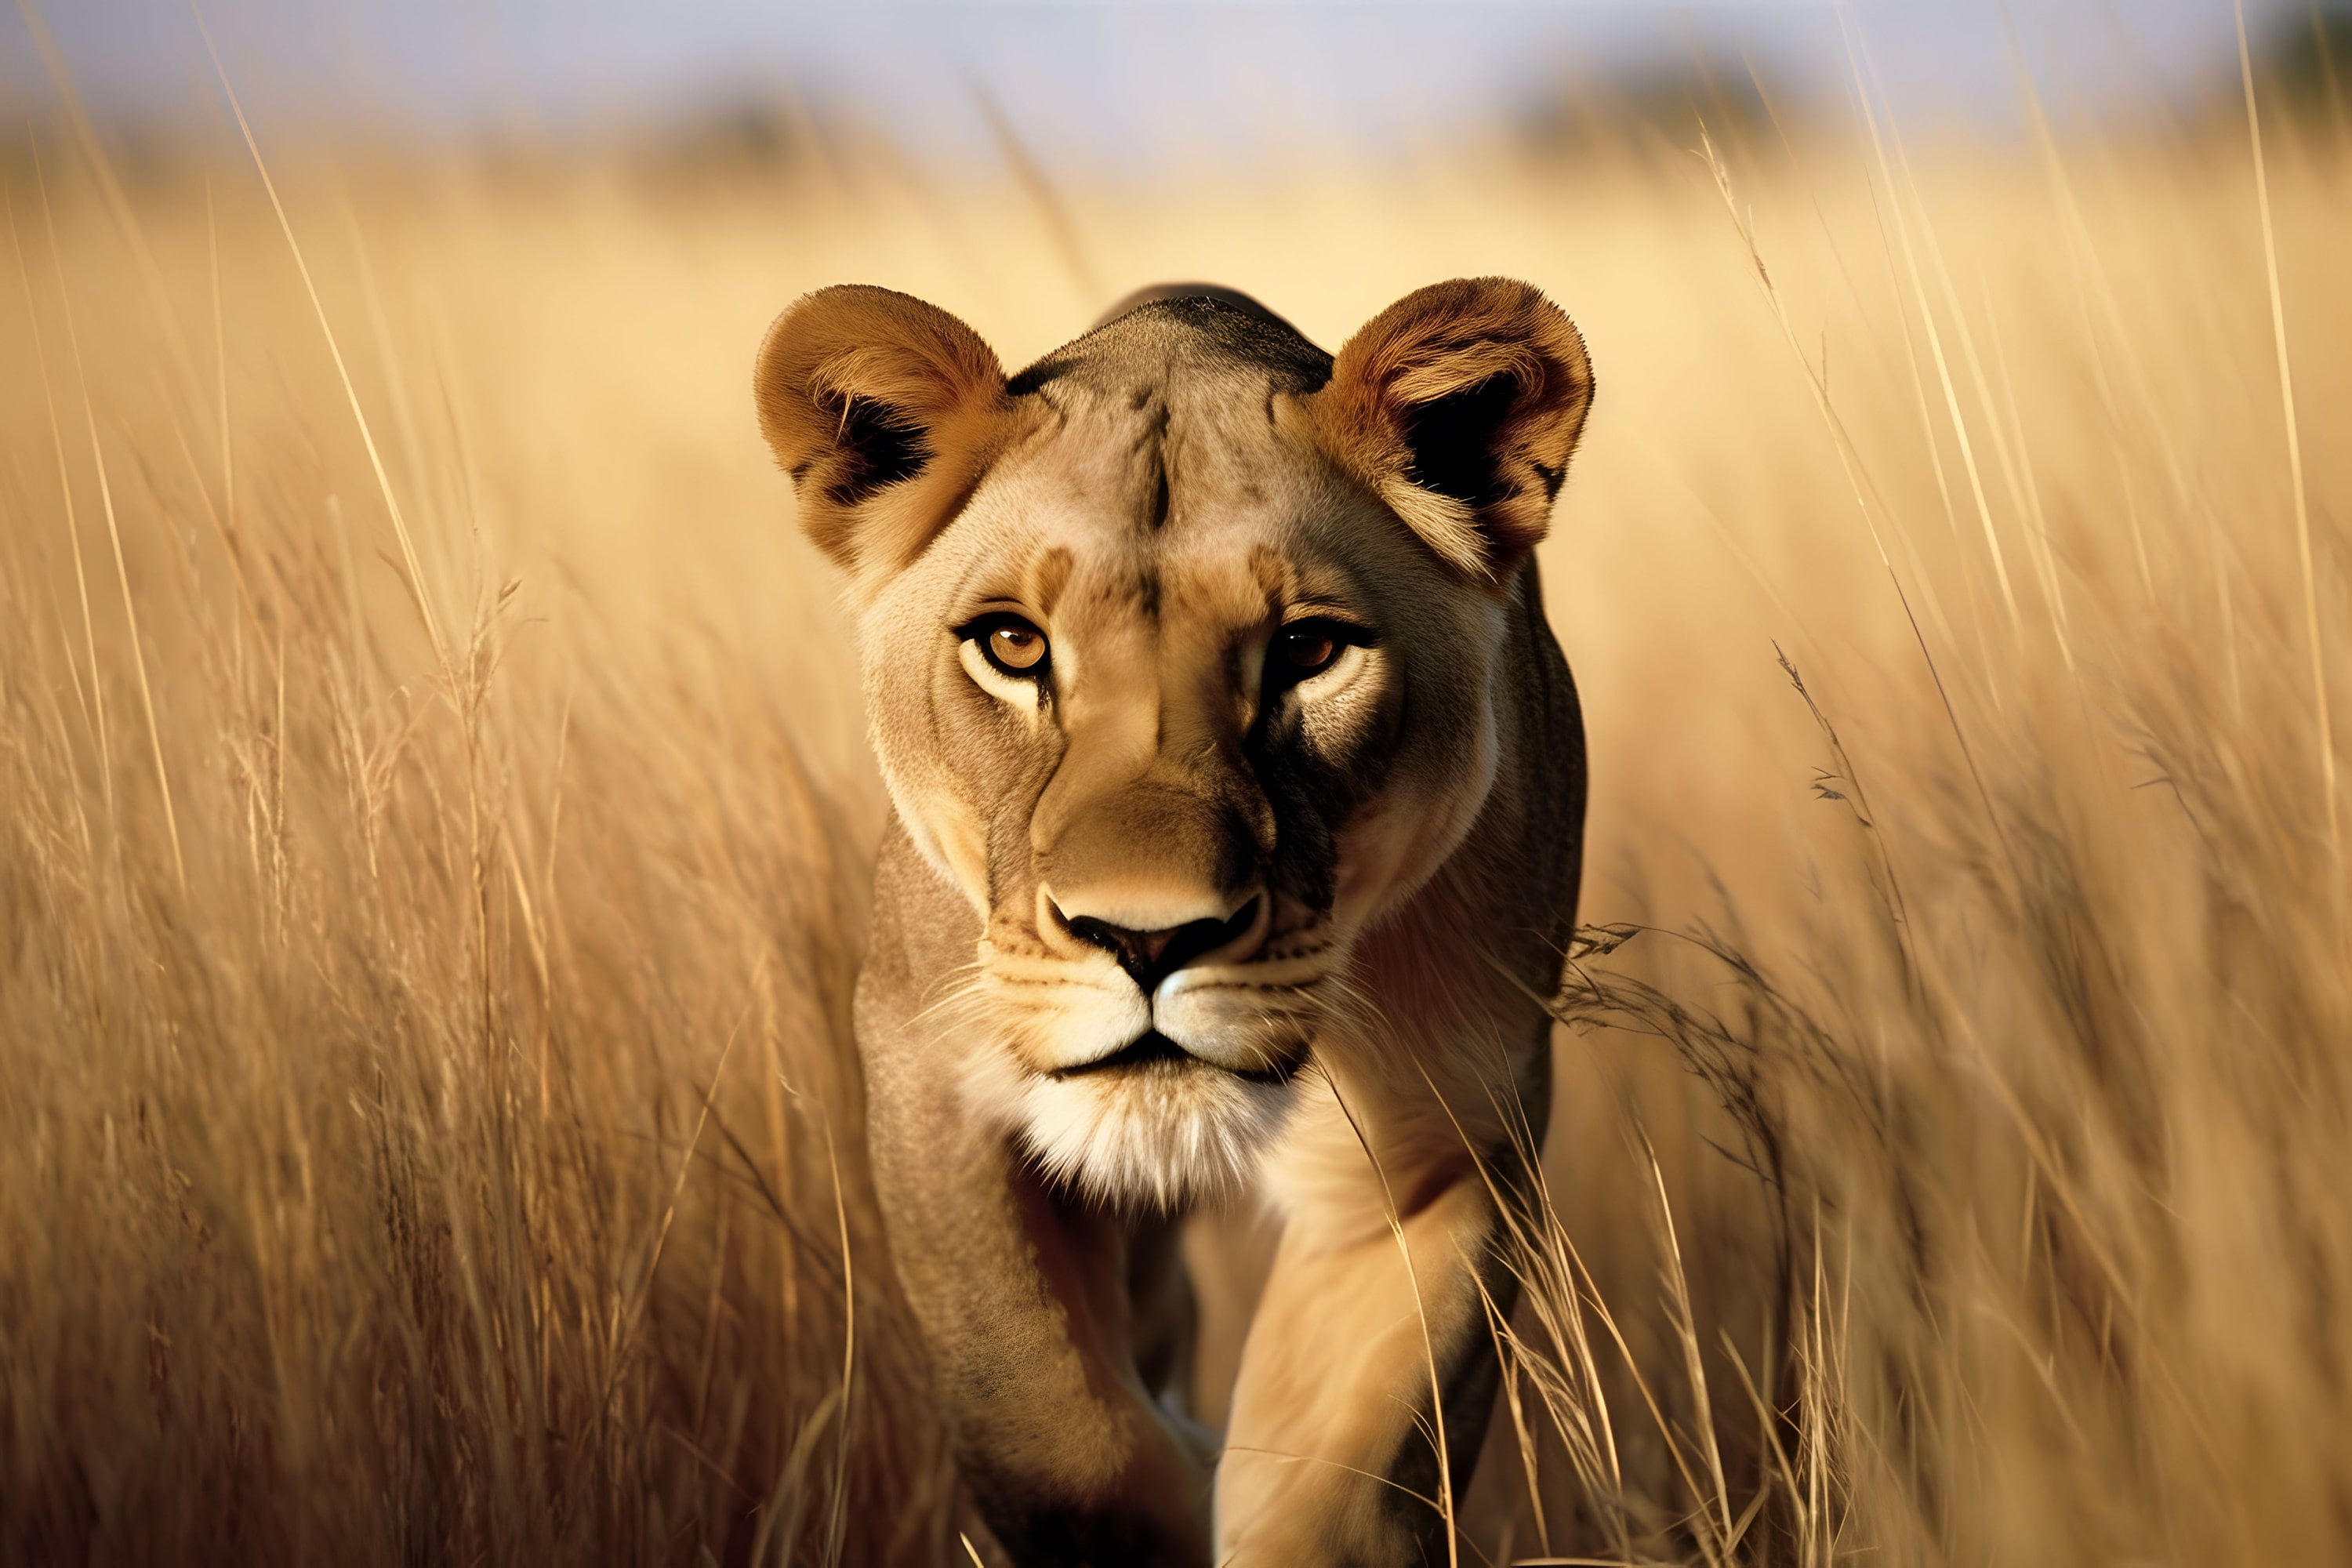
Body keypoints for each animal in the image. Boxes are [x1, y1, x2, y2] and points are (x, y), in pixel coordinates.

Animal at [753, 276, 1593, 1566]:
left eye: (1309, 649)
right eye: (1013, 644)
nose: (1147, 939)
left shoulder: (1441, 1138)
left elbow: (1333, 1492)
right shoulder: (922, 1077)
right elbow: (1054, 1429)